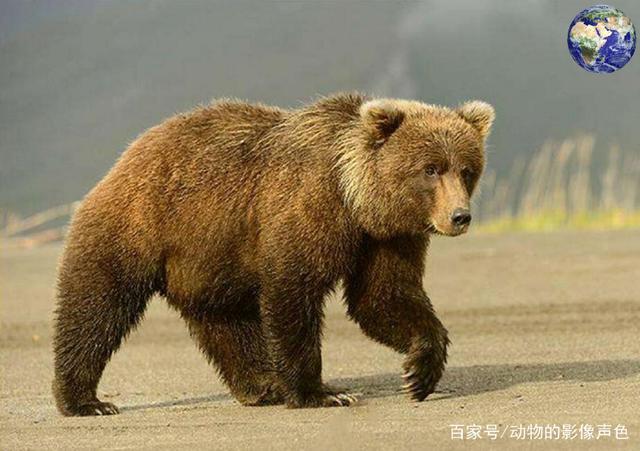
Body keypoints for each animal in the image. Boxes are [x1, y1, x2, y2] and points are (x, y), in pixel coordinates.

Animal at [52, 93, 494, 415]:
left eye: (466, 169)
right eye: (431, 169)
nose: (459, 216)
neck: (354, 199)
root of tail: (123, 159)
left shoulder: (387, 238)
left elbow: (384, 296)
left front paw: (419, 372)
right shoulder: (305, 206)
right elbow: (293, 292)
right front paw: (321, 392)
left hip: (211, 257)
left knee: (228, 320)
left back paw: (261, 386)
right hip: (139, 226)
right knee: (97, 307)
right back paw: (85, 400)